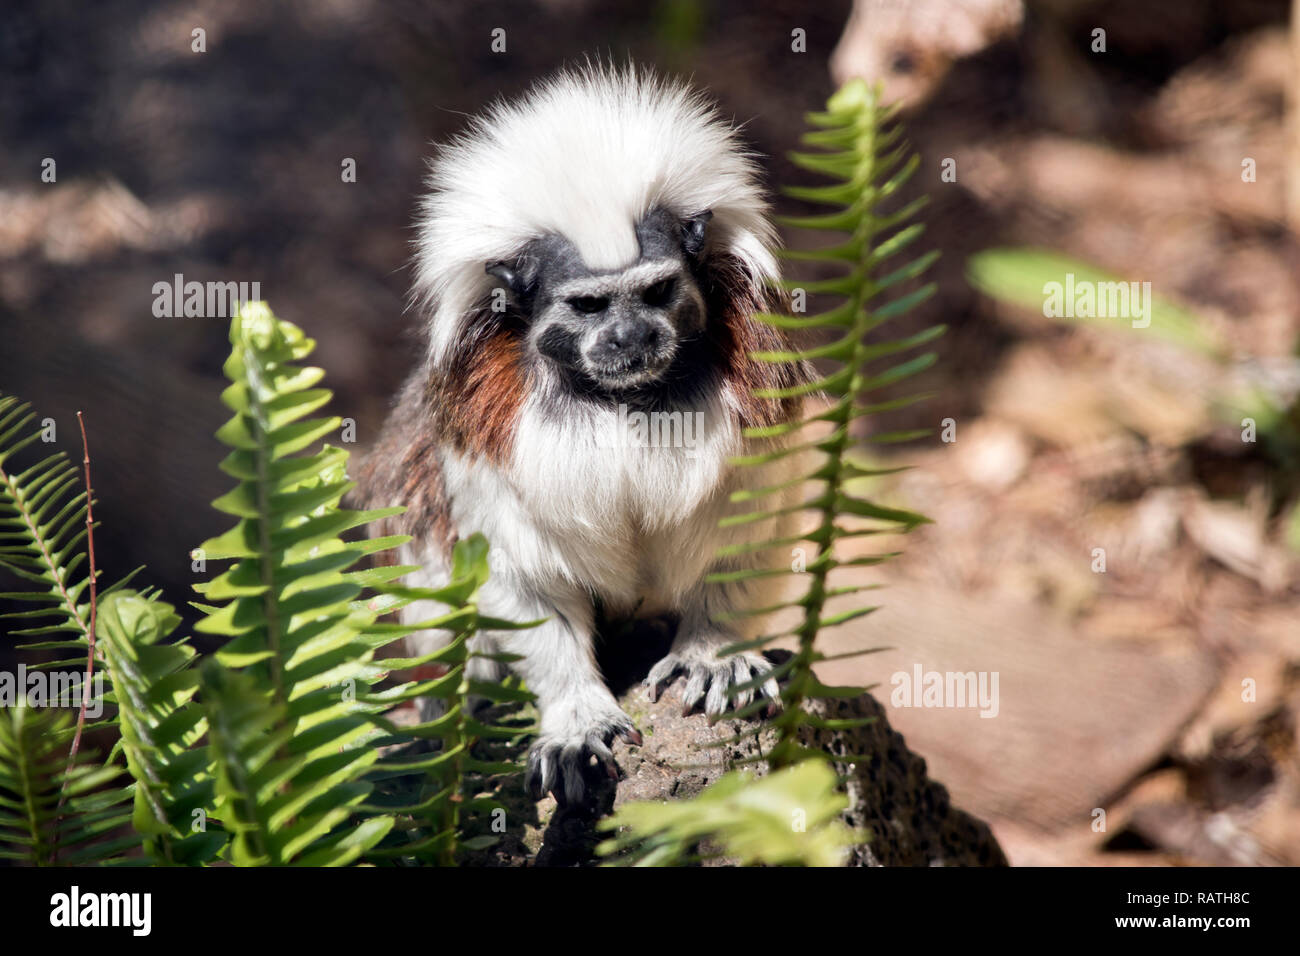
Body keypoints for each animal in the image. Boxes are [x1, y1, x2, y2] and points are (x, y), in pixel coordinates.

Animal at [359, 64, 810, 805]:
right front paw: (574, 718)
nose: (631, 338)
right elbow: (527, 579)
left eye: (657, 292)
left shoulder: (761, 398)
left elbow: (742, 532)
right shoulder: (484, 439)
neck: (621, 401)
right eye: (590, 305)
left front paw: (714, 655)